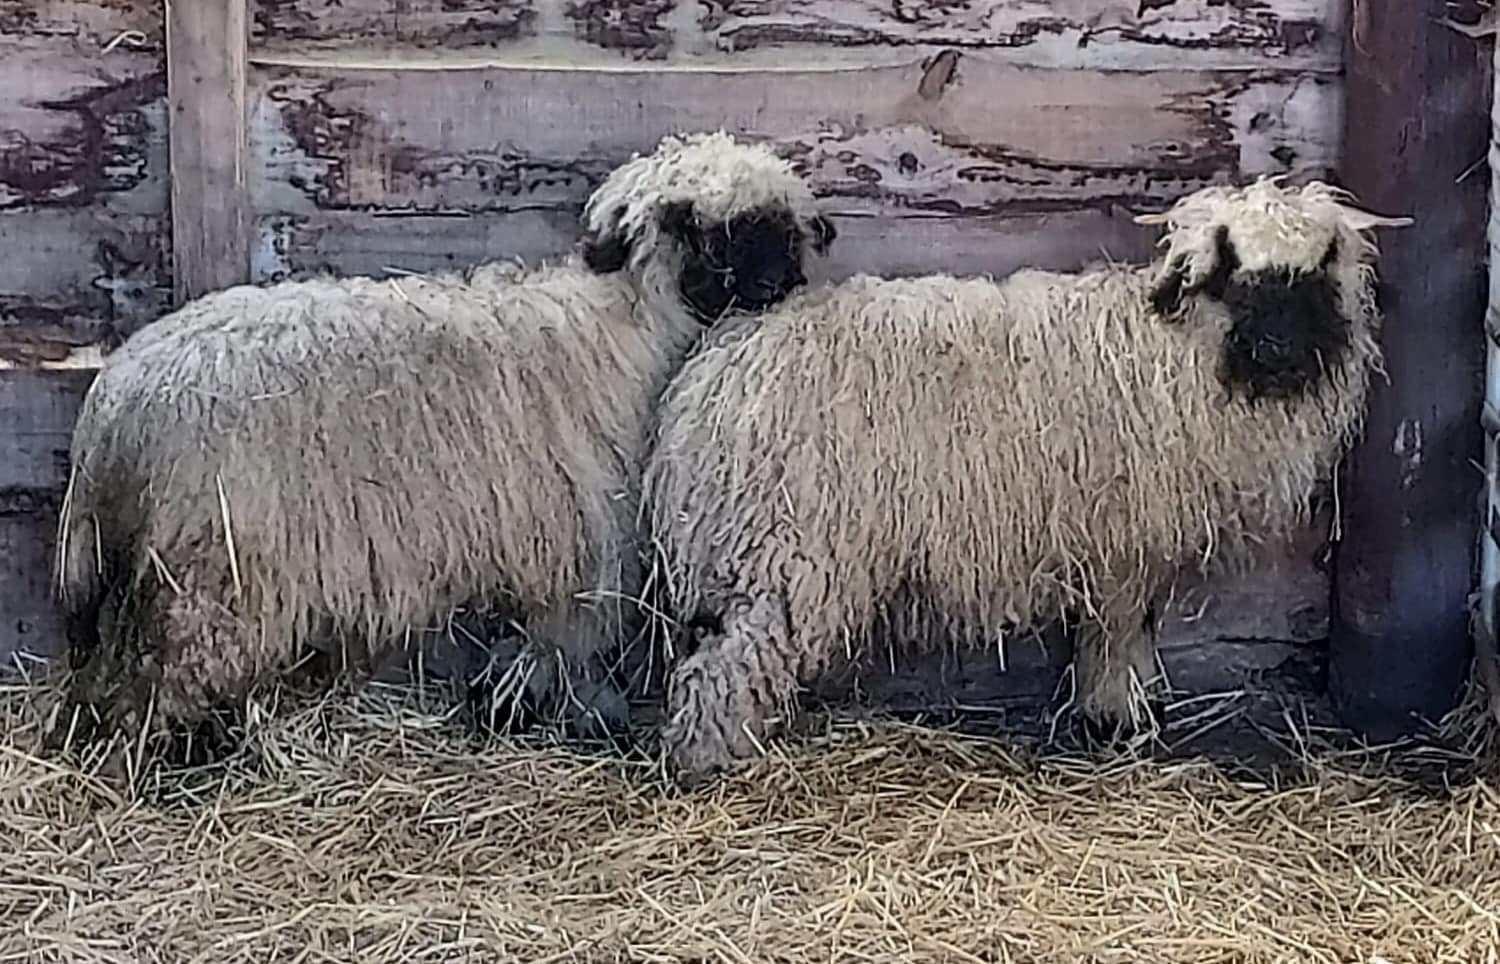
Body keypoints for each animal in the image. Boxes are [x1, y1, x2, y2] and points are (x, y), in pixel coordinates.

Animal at [52, 130, 837, 763]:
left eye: (779, 223)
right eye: (713, 229)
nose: (786, 279)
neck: (630, 322)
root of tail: (113, 407)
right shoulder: (585, 550)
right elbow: (570, 646)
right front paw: (580, 717)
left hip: (145, 562)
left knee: (107, 660)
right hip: (214, 566)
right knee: (164, 672)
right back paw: (170, 761)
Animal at [641, 177, 1411, 782]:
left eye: (1314, 275)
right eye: (1228, 272)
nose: (1280, 351)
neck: (1179, 357)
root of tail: (710, 377)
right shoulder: (1123, 544)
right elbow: (1119, 634)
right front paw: (1118, 720)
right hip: (783, 548)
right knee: (725, 663)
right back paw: (713, 763)